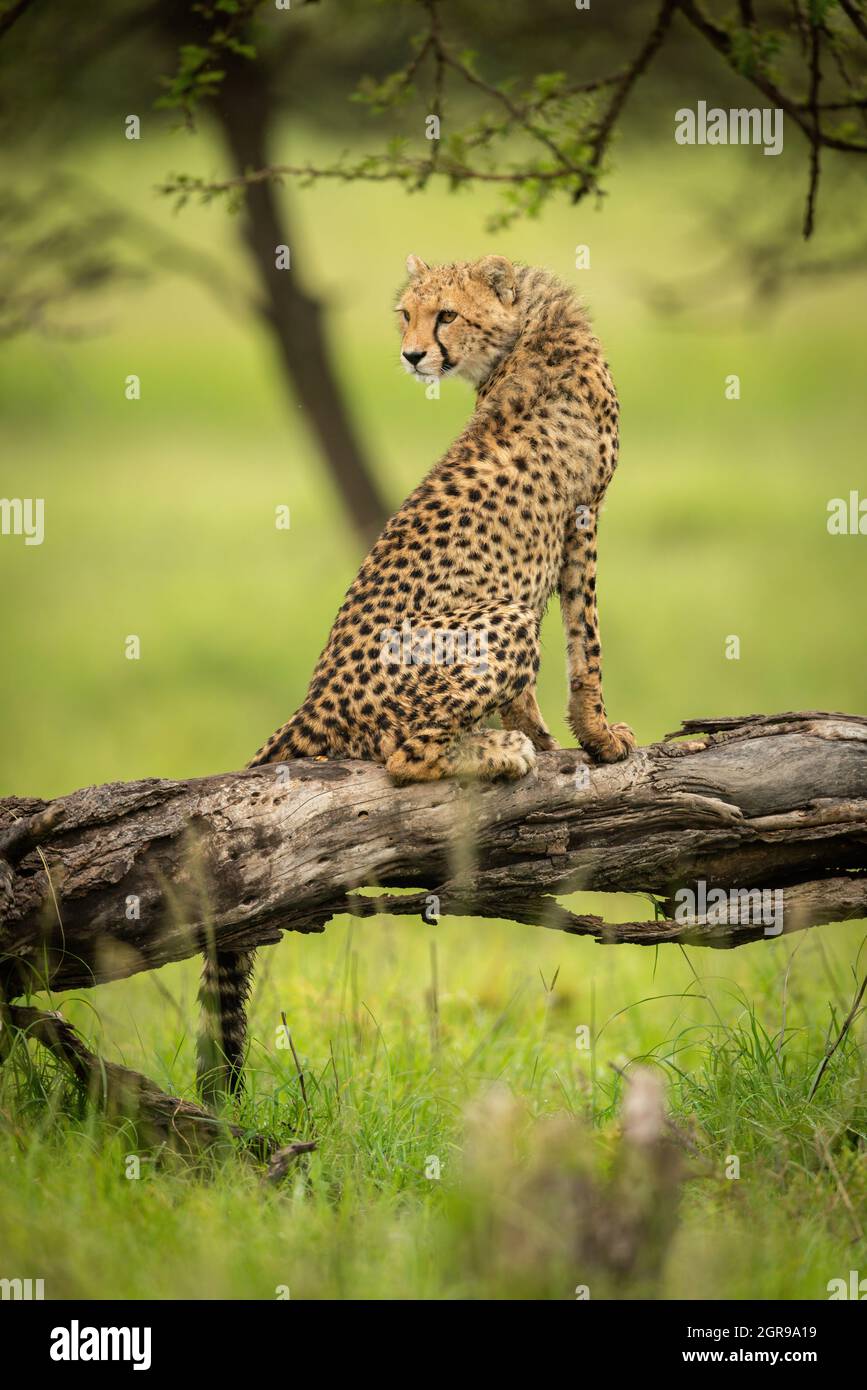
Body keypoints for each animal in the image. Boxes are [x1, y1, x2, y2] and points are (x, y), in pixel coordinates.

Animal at [196, 252, 635, 1103]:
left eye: (445, 315)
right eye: (406, 312)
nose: (409, 355)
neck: (529, 327)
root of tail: (315, 693)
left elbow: (555, 665)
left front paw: (545, 733)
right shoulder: (580, 521)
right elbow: (586, 641)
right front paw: (594, 736)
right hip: (496, 620)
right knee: (402, 753)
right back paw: (495, 753)